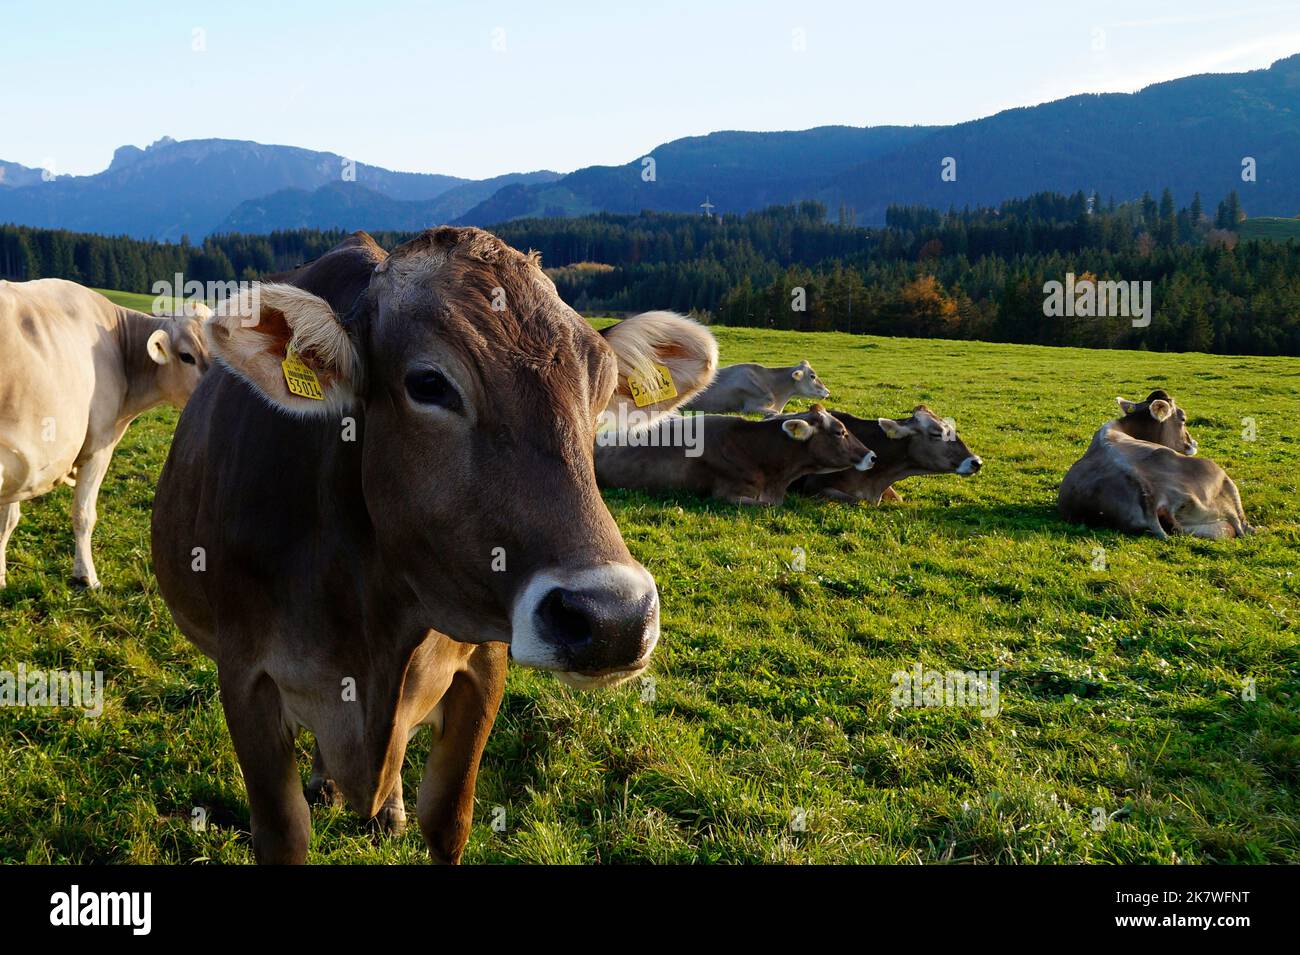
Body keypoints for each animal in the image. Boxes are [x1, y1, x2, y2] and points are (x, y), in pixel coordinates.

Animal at [0, 278, 209, 588]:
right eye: (187, 356)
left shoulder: (24, 455)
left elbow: (7, 520)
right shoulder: (98, 444)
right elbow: (84, 514)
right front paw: (86, 575)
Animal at [150, 228, 719, 864]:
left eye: (598, 393)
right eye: (428, 385)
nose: (615, 620)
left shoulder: (483, 664)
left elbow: (449, 819)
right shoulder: (245, 676)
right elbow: (283, 831)